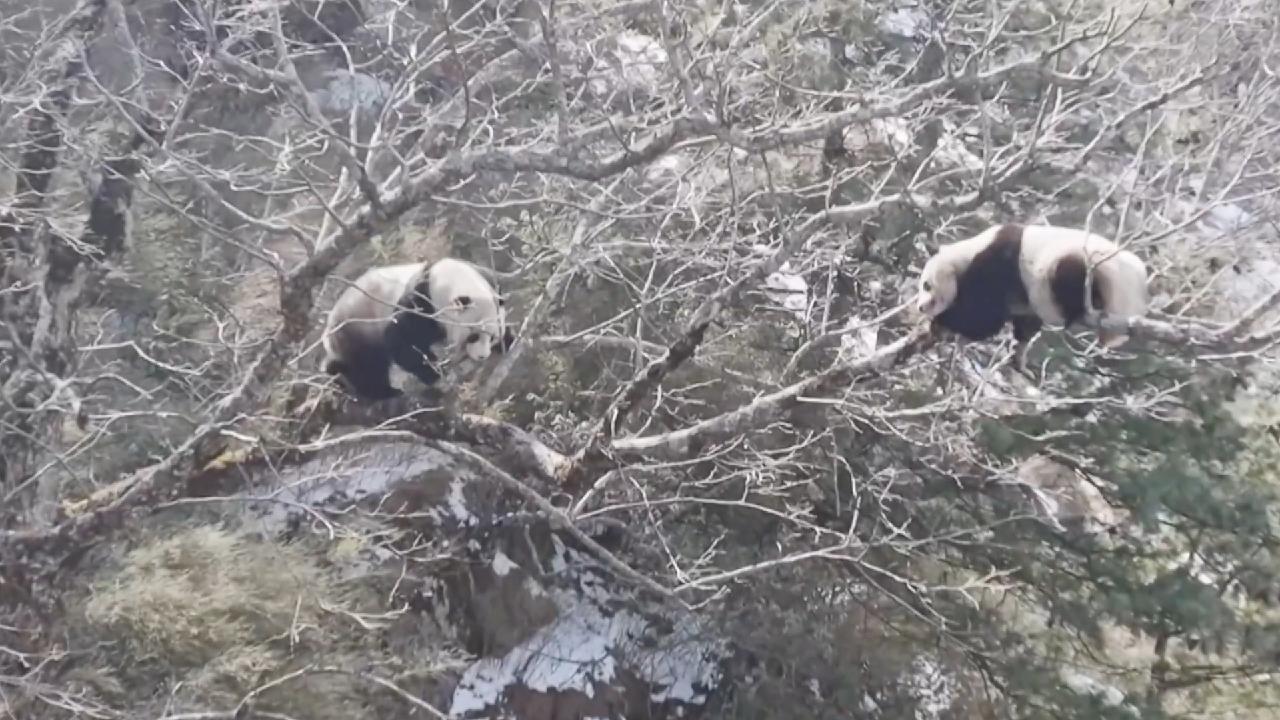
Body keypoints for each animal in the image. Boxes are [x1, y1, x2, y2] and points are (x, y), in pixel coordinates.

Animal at [321, 257, 515, 400]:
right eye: (473, 336)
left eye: (492, 337)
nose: (483, 356)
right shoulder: (423, 302)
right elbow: (400, 338)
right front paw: (437, 374)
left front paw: (509, 340)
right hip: (357, 325)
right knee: (367, 364)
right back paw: (382, 392)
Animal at [915, 223, 1150, 349]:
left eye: (926, 285)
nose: (921, 307)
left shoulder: (999, 263)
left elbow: (982, 315)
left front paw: (941, 321)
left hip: (1090, 265)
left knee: (1069, 277)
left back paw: (1076, 310)